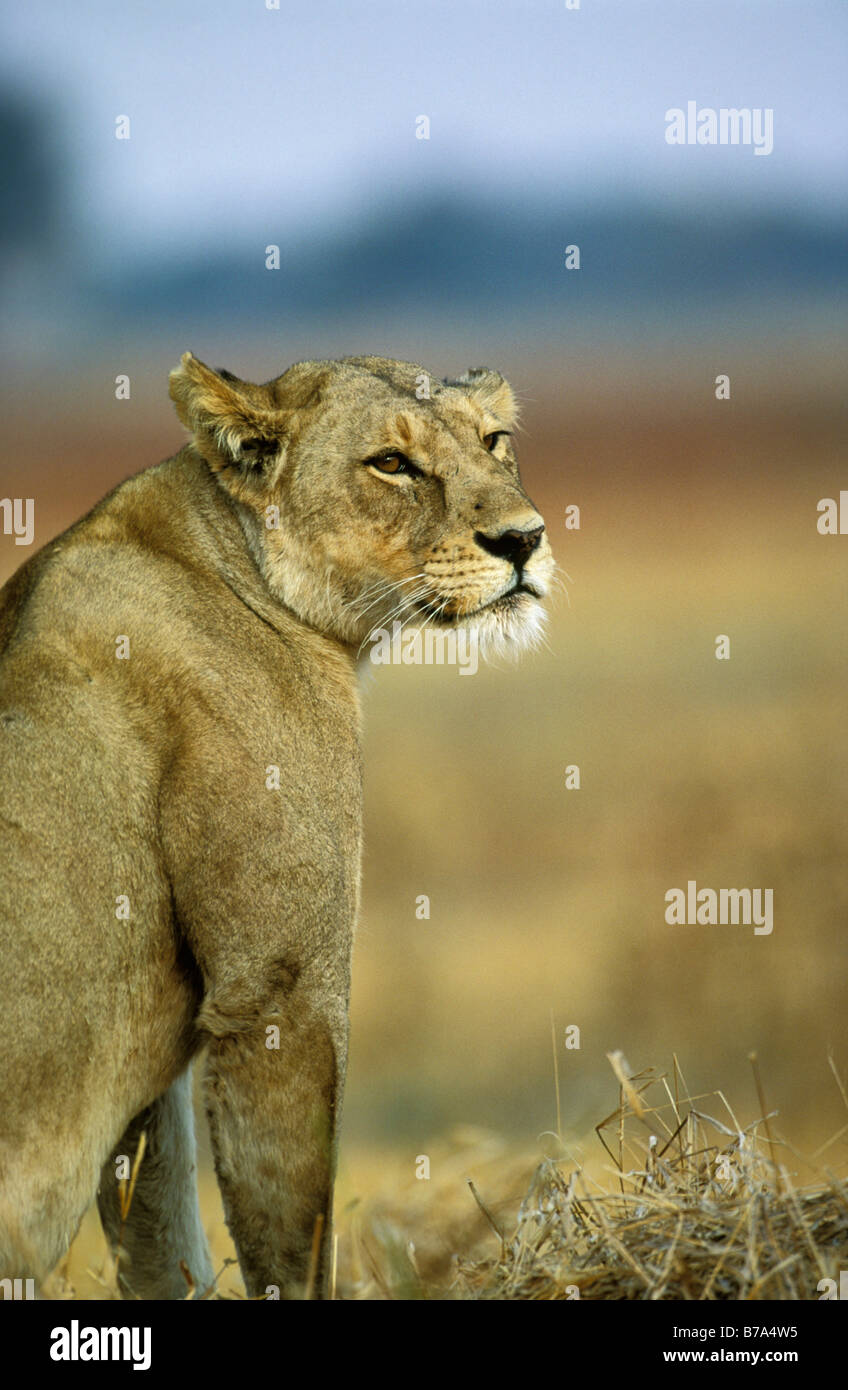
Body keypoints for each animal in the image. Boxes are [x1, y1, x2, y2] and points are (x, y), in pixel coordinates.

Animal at [0, 352, 553, 1300]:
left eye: (493, 441)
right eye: (392, 465)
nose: (525, 539)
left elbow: (161, 1231)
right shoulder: (280, 989)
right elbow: (296, 1233)